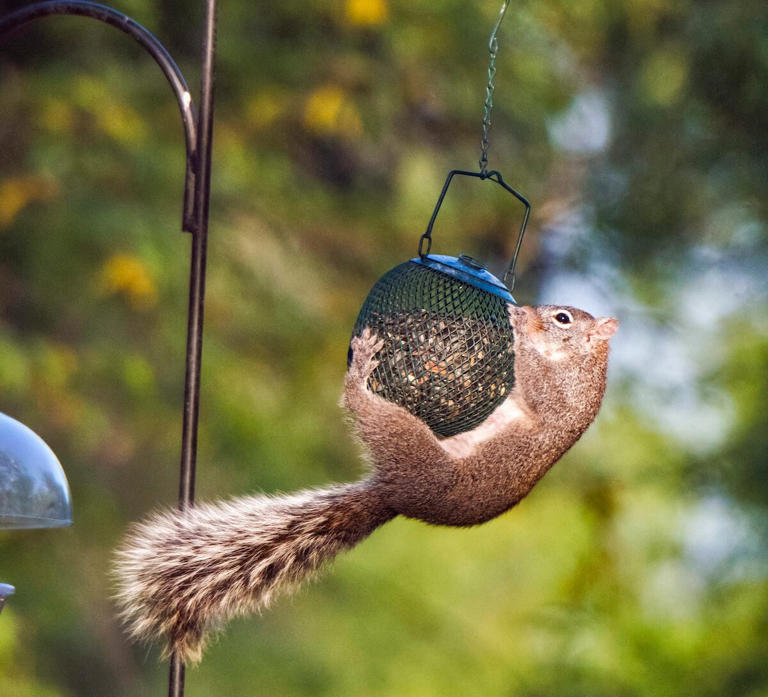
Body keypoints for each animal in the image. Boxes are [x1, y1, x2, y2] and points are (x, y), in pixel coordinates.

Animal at [112, 304, 618, 663]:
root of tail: (395, 494)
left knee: (360, 405)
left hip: (407, 441)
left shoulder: (558, 395)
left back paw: (359, 374)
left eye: (562, 318)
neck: (584, 364)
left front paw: (514, 328)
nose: (527, 309)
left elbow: (532, 378)